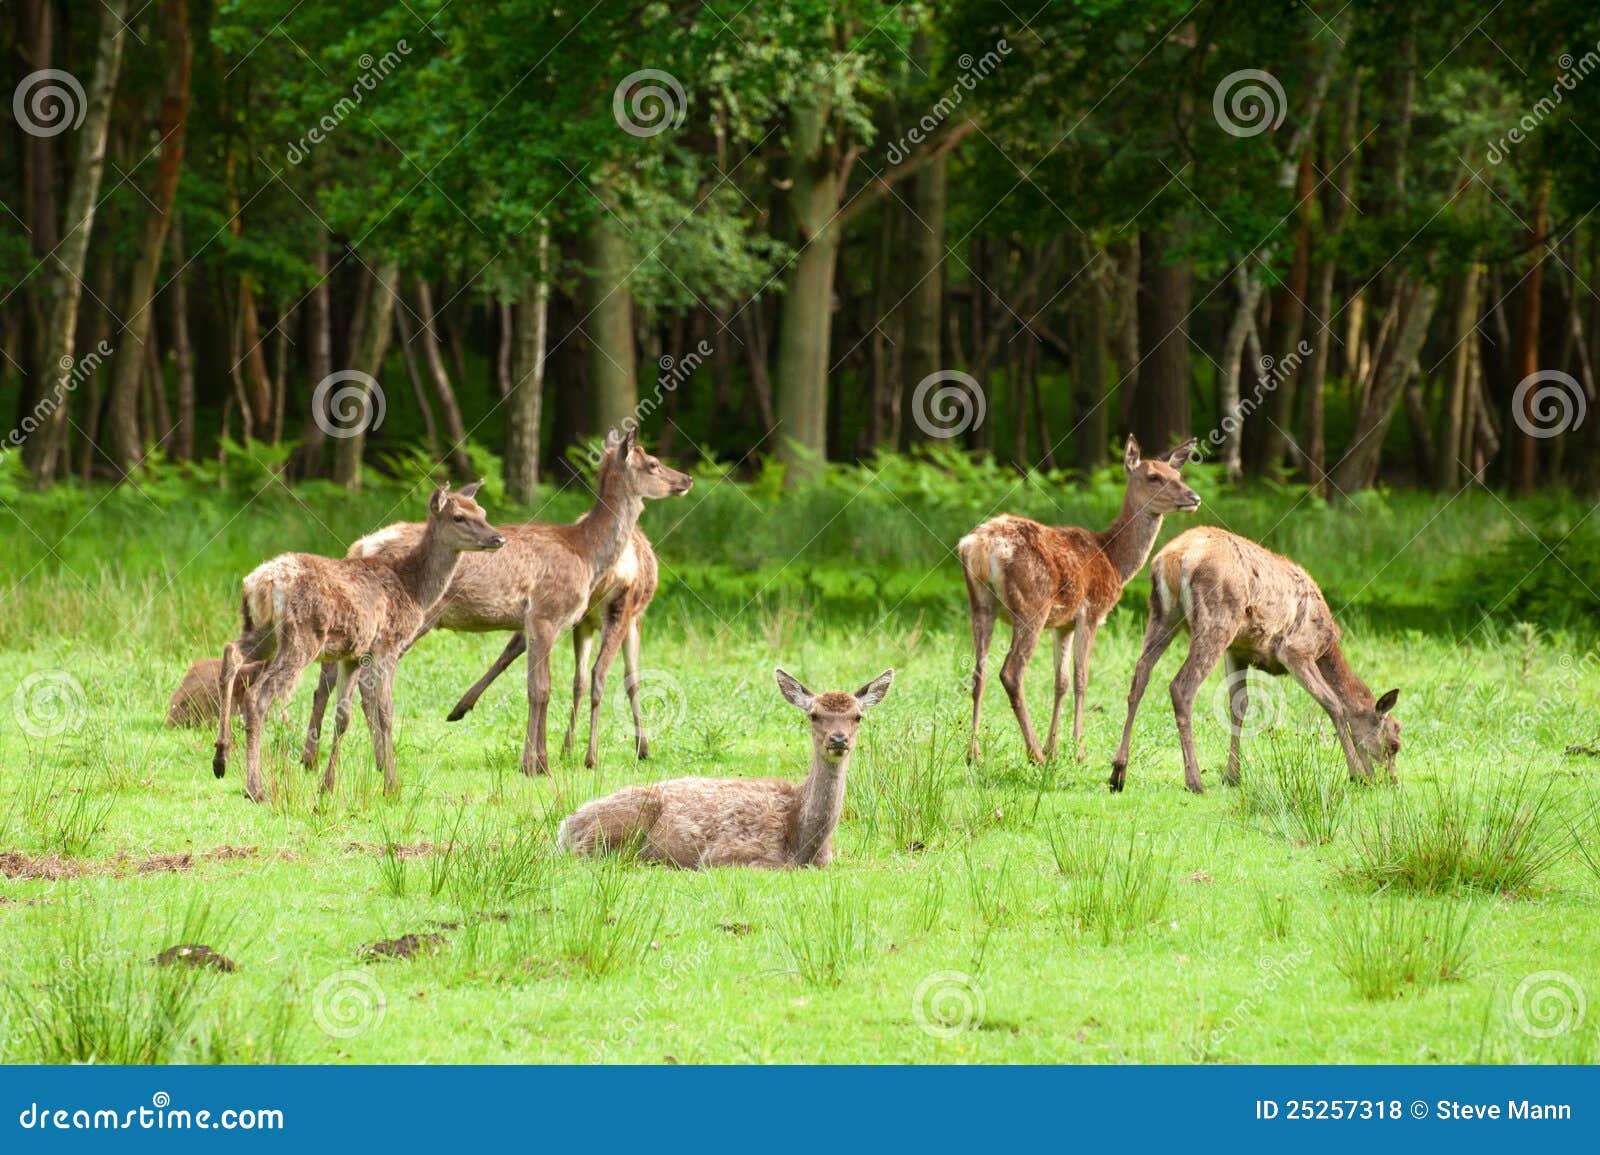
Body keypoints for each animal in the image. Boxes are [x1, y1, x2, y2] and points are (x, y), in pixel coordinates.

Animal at [213, 483, 505, 802]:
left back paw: (221, 758)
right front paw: (391, 785)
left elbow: (343, 716)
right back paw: (255, 788)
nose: (498, 538)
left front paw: (327, 786)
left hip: (261, 631)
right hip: (302, 637)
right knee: (257, 696)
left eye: (483, 512)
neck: (413, 589)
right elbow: (385, 710)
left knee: (230, 654)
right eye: (459, 517)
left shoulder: (352, 654)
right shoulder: (387, 643)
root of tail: (262, 583)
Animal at [301, 430, 691, 777]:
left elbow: (540, 686)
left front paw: (532, 761)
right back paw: (375, 761)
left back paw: (317, 758)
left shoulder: (542, 623)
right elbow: (541, 690)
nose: (685, 478)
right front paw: (540, 765)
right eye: (653, 463)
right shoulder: (546, 614)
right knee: (364, 682)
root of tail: (359, 545)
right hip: (408, 621)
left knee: (331, 676)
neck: (585, 552)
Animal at [558, 668, 893, 868]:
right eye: (813, 714)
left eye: (857, 716)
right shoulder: (728, 853)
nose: (838, 739)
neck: (803, 840)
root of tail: (566, 824)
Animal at [959, 435, 1200, 765]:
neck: (1114, 560)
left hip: (980, 603)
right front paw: (1078, 749)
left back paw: (974, 753)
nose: (1194, 497)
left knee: (978, 672)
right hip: (1032, 604)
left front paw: (1055, 747)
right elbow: (1081, 677)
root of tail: (979, 545)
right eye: (1153, 477)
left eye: (1178, 474)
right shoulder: (1092, 612)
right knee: (1011, 672)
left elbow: (1060, 681)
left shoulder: (1063, 625)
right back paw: (1034, 754)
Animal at [1109, 526, 1401, 794]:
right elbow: (1333, 703)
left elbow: (1239, 705)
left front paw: (1232, 776)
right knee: (1181, 687)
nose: (1392, 782)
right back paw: (1194, 781)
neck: (1325, 646)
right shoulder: (1296, 650)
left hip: (1163, 613)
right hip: (1217, 619)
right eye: (1394, 743)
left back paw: (1118, 773)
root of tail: (1173, 558)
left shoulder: (1237, 650)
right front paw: (1357, 774)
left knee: (1140, 675)